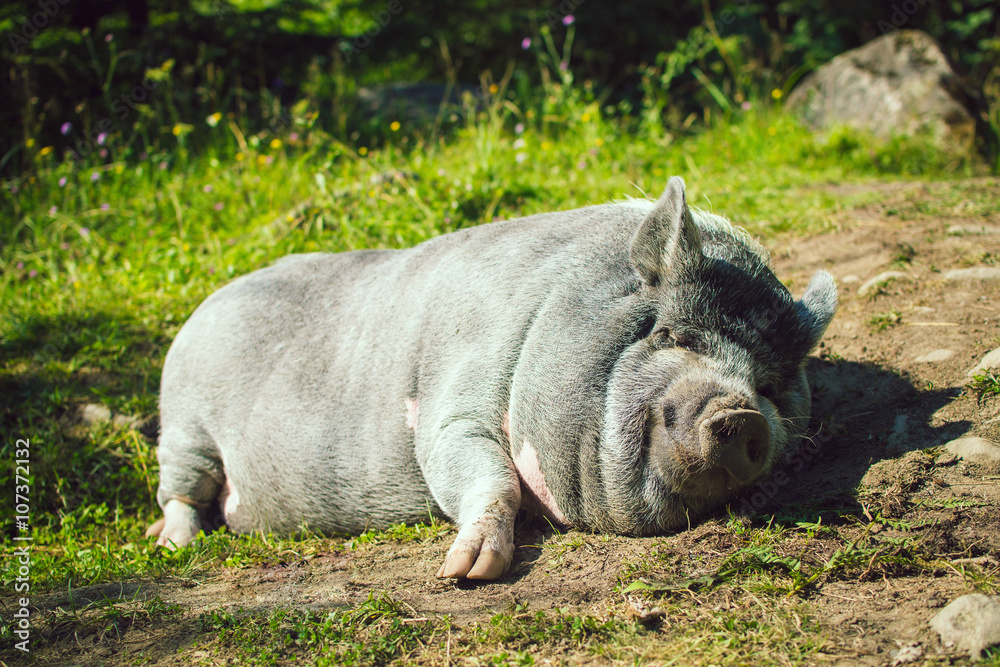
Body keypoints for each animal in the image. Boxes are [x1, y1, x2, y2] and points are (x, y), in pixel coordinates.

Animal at [146, 176, 837, 580]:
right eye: (672, 335)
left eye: (771, 383)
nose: (740, 413)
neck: (544, 310)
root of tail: (209, 302)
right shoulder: (451, 405)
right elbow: (487, 477)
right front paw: (467, 572)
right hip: (182, 425)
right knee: (180, 492)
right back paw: (169, 546)